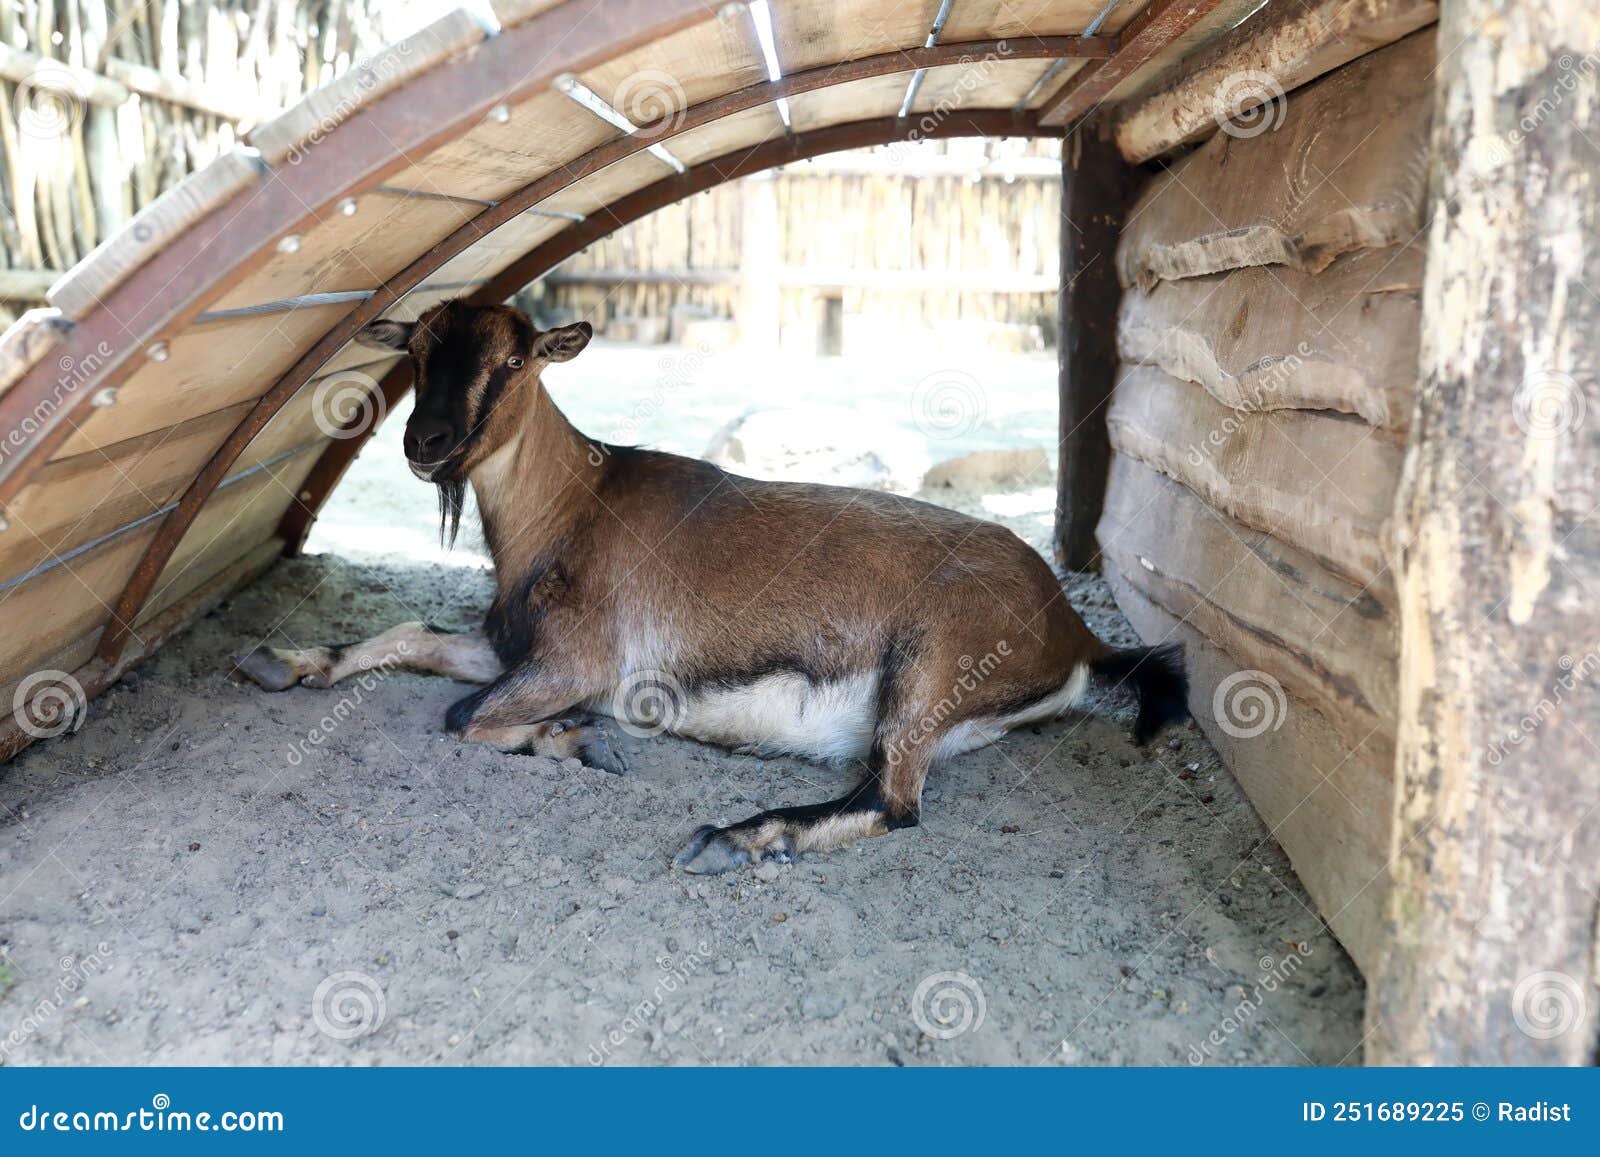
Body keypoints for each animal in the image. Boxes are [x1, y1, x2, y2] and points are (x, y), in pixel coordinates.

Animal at [234, 301, 1188, 873]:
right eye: (419, 348)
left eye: (511, 362)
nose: (424, 441)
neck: (570, 506)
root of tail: (1075, 631)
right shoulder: (510, 645)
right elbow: (411, 637)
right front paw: (282, 660)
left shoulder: (578, 663)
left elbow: (462, 717)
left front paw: (581, 742)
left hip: (931, 662)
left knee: (892, 799)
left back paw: (734, 836)